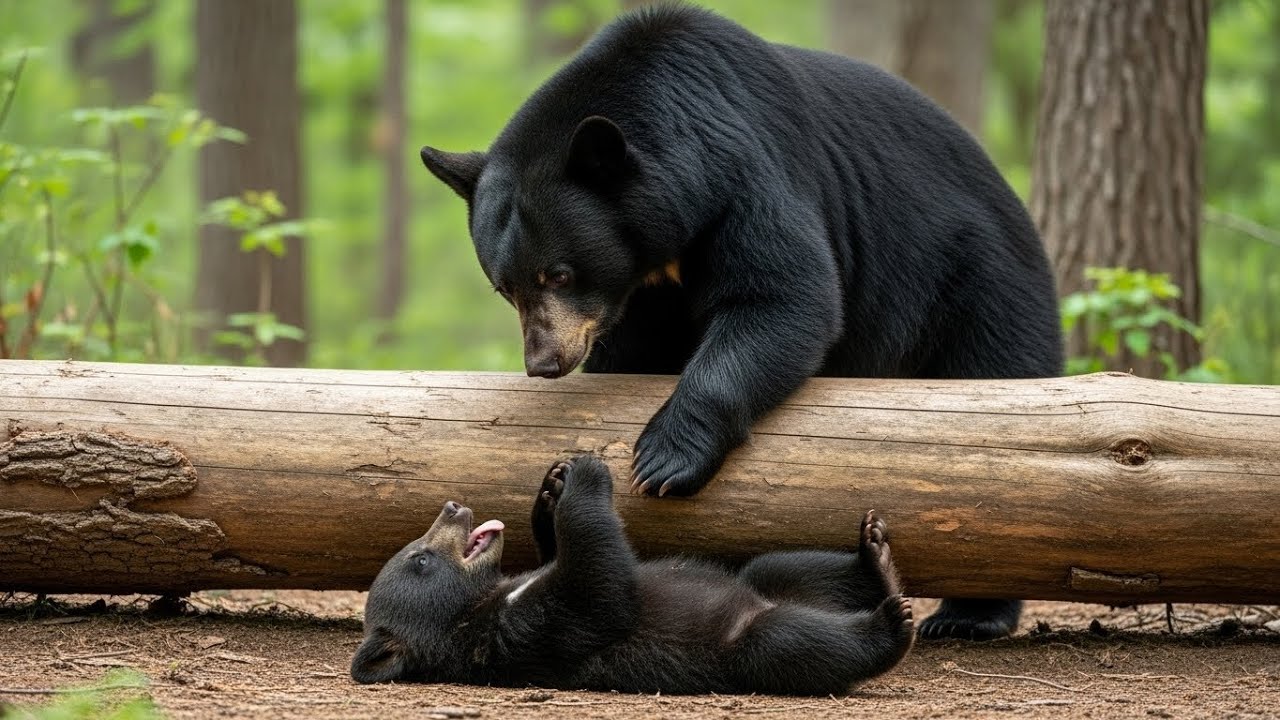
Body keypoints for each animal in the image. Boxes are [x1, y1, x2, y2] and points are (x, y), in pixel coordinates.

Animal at [351, 455, 915, 695]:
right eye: (420, 558)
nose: (452, 506)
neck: (489, 602)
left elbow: (570, 559)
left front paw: (553, 487)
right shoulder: (524, 635)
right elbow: (597, 594)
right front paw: (585, 472)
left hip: (766, 578)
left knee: (784, 566)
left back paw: (874, 555)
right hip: (742, 642)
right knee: (793, 639)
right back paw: (892, 620)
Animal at [417, 5, 1062, 641]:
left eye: (558, 273)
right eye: (505, 287)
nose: (544, 362)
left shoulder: (742, 170)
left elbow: (784, 295)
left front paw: (662, 461)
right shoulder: (643, 292)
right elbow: (636, 350)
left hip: (975, 279)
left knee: (997, 383)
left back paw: (967, 617)